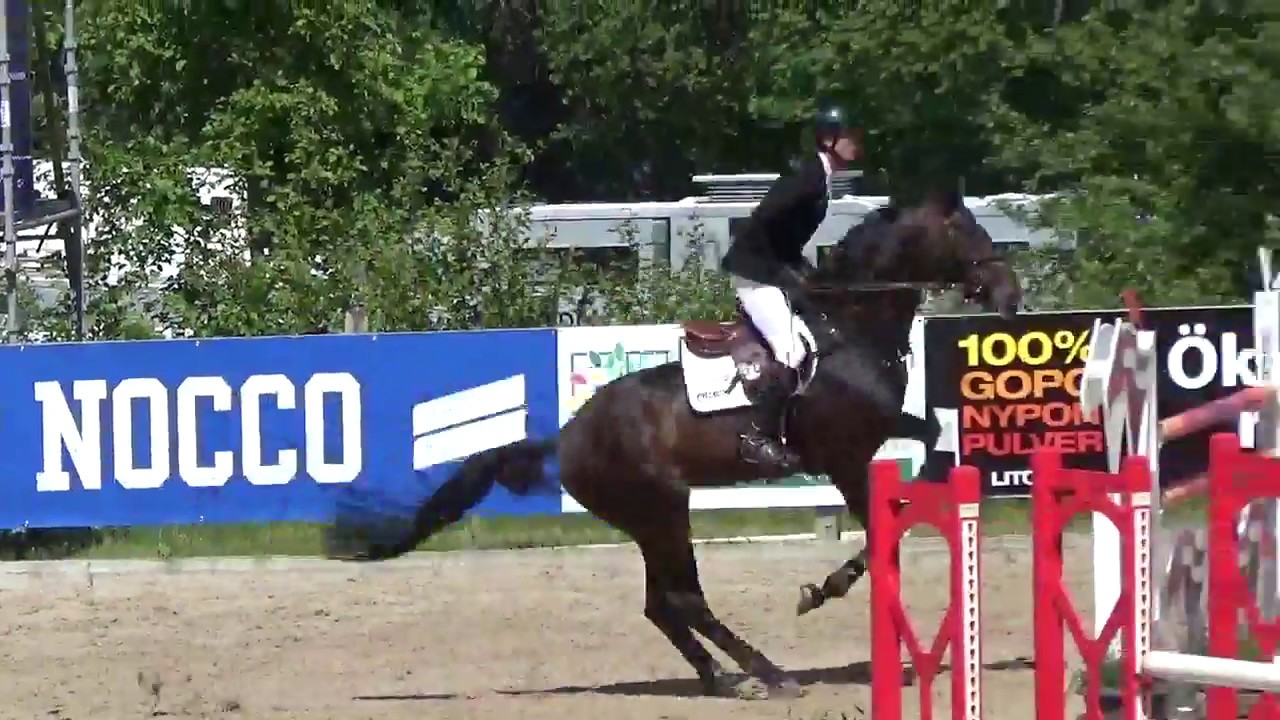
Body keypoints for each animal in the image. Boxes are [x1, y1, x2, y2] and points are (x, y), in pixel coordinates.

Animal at [324, 189, 1023, 699]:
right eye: (966, 234)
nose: (1011, 296)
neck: (849, 326)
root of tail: (568, 435)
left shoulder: (880, 432)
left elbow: (932, 440)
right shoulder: (844, 456)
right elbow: (882, 538)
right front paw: (823, 590)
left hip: (648, 517)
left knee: (661, 604)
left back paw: (717, 677)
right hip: (662, 508)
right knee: (683, 598)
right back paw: (767, 674)